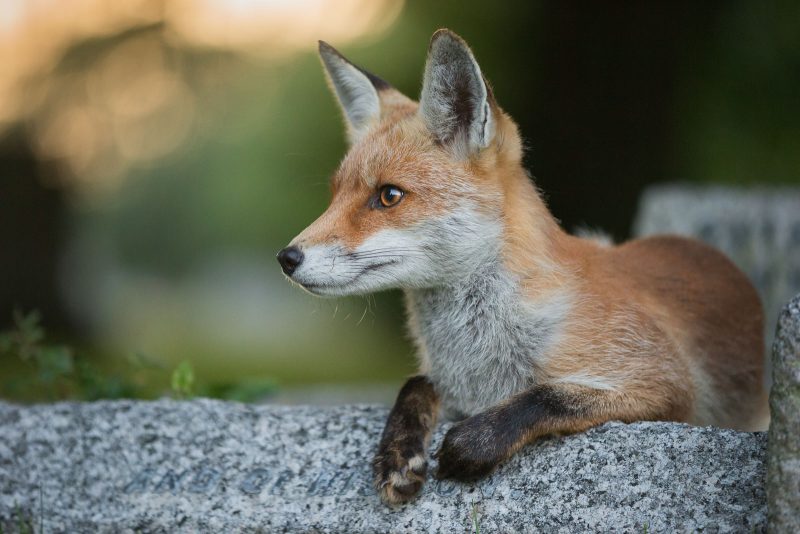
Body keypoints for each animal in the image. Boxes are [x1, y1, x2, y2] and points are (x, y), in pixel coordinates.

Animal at [277, 29, 768, 505]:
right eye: (335, 194)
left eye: (389, 196)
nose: (287, 258)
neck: (482, 355)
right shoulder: (456, 384)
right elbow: (415, 384)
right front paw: (397, 453)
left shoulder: (667, 383)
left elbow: (549, 395)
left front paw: (472, 444)